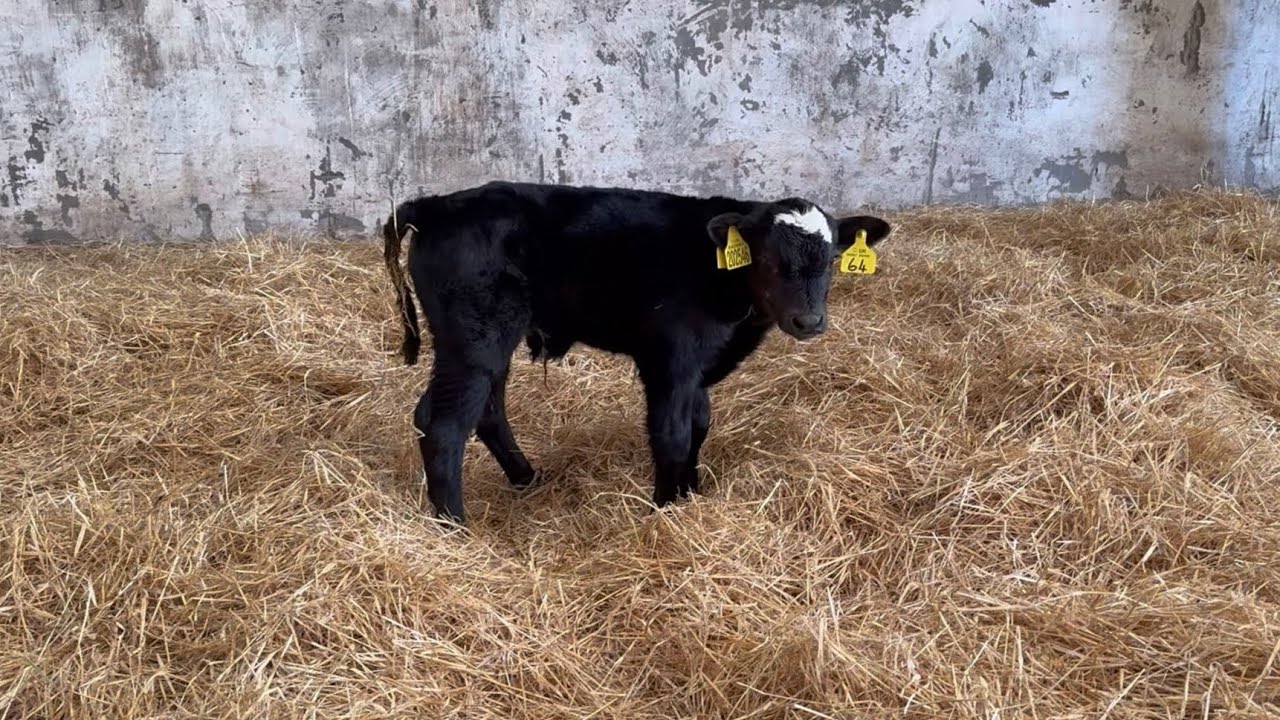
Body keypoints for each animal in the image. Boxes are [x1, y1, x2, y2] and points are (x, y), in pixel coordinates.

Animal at [383, 181, 891, 523]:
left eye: (831, 260)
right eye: (767, 260)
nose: (808, 321)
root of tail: (435, 205)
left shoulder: (696, 369)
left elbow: (699, 426)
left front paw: (690, 495)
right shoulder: (669, 361)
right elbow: (672, 434)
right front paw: (665, 509)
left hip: (487, 341)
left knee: (482, 411)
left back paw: (526, 478)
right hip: (475, 340)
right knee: (445, 424)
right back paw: (455, 525)